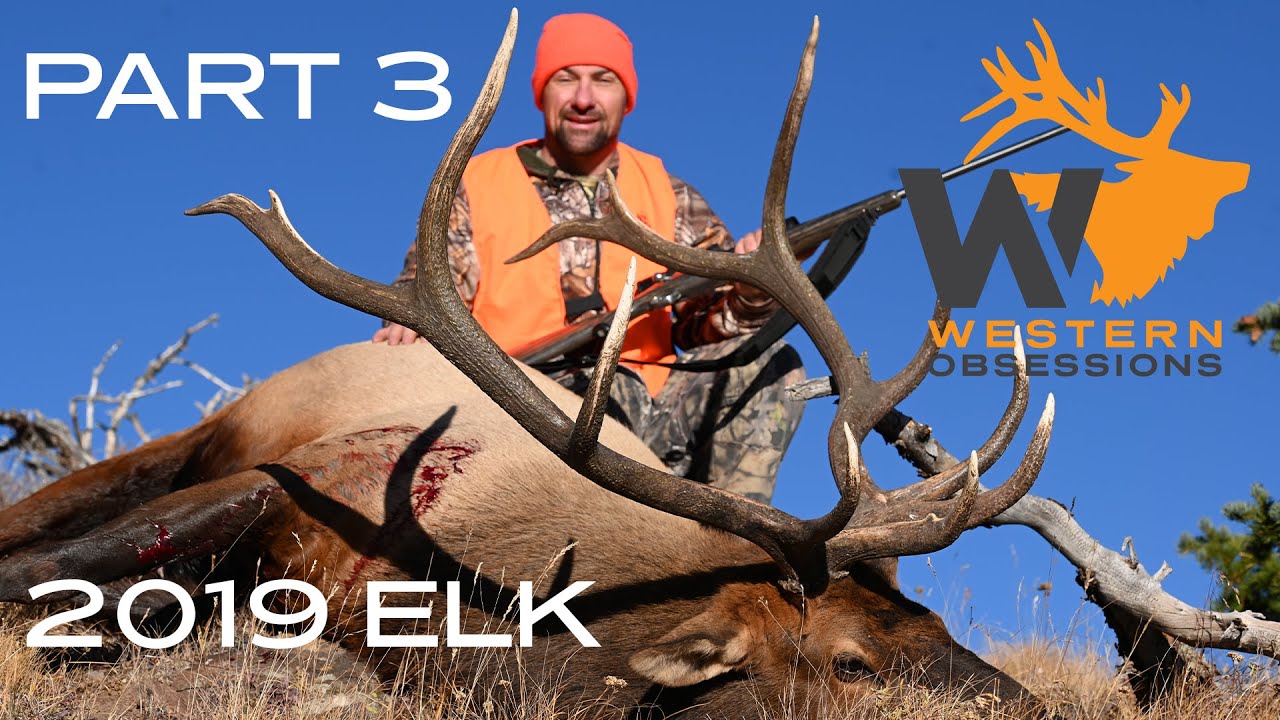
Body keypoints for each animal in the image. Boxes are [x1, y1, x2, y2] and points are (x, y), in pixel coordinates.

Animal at [0, 13, 1058, 718]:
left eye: (939, 627)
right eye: (851, 663)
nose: (1037, 706)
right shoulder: (290, 476)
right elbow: (41, 574)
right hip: (191, 438)